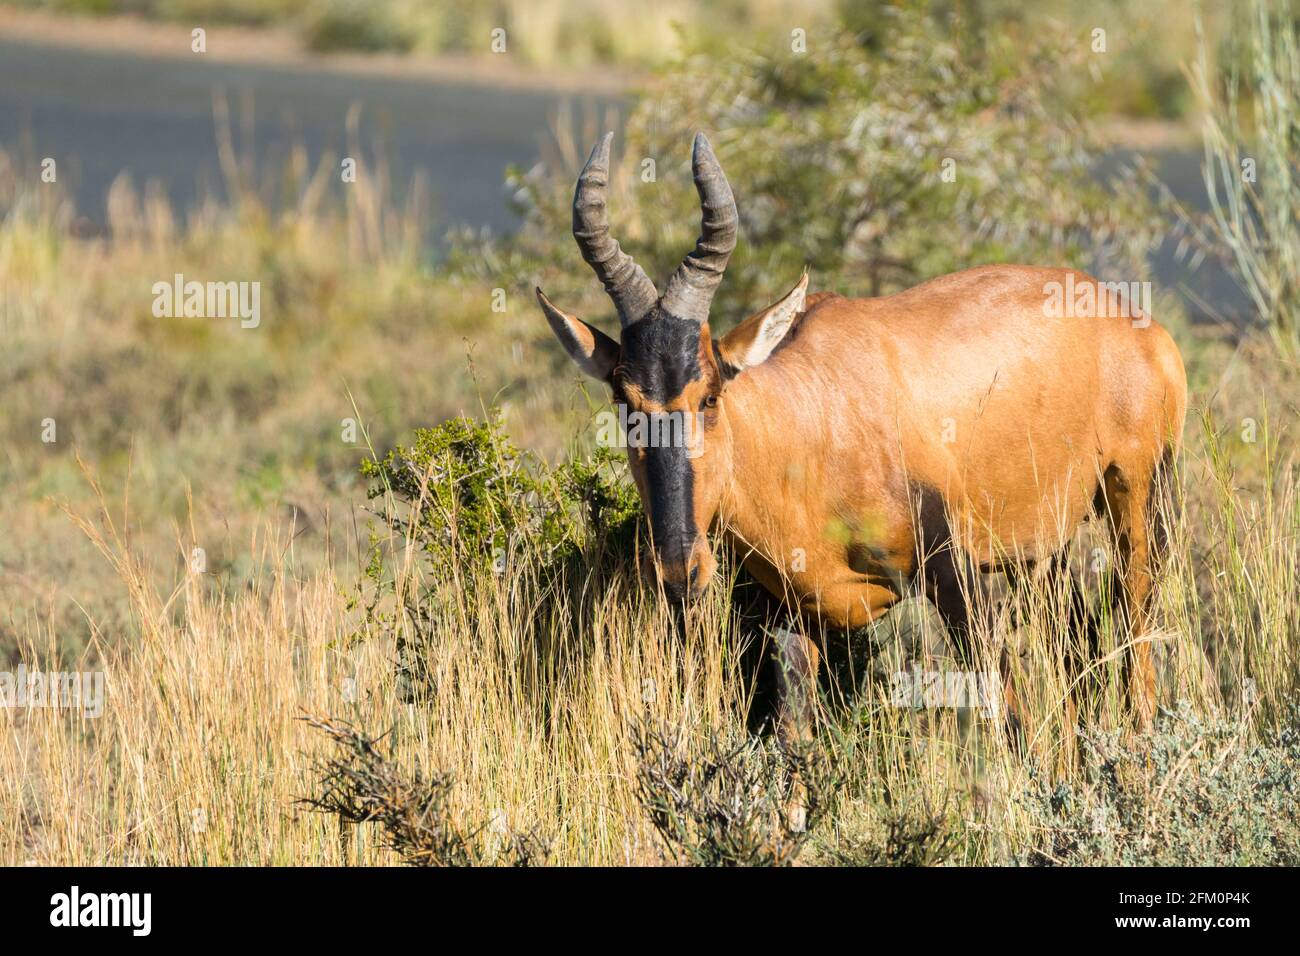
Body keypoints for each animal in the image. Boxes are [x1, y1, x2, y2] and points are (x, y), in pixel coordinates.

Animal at [536, 132, 1187, 763]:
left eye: (710, 394)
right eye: (624, 401)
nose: (679, 572)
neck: (816, 415)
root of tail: (1134, 319)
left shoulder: (953, 576)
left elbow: (1012, 718)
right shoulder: (789, 615)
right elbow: (791, 745)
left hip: (1137, 498)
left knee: (1137, 631)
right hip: (1042, 547)